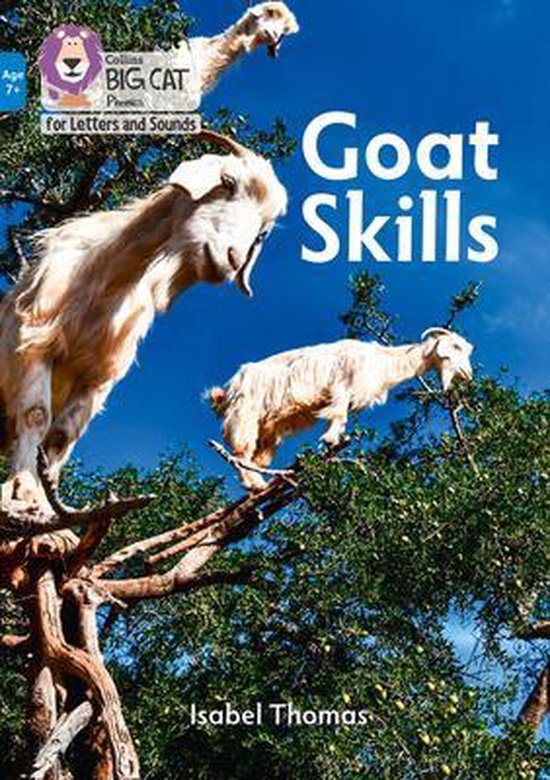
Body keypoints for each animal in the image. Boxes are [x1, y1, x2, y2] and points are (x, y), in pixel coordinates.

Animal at [0, 130, 287, 507]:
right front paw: (22, 489)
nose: (232, 260)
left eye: (263, 230)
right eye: (227, 182)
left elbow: (61, 435)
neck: (103, 284)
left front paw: (48, 508)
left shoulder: (99, 378)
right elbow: (36, 415)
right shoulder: (35, 339)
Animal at [209, 329, 474, 491]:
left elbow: (338, 418)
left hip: (267, 429)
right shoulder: (342, 386)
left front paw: (333, 440)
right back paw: (255, 485)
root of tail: (226, 392)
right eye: (456, 346)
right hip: (244, 415)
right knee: (240, 454)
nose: (468, 375)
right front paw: (329, 440)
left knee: (257, 459)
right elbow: (338, 414)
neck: (380, 361)